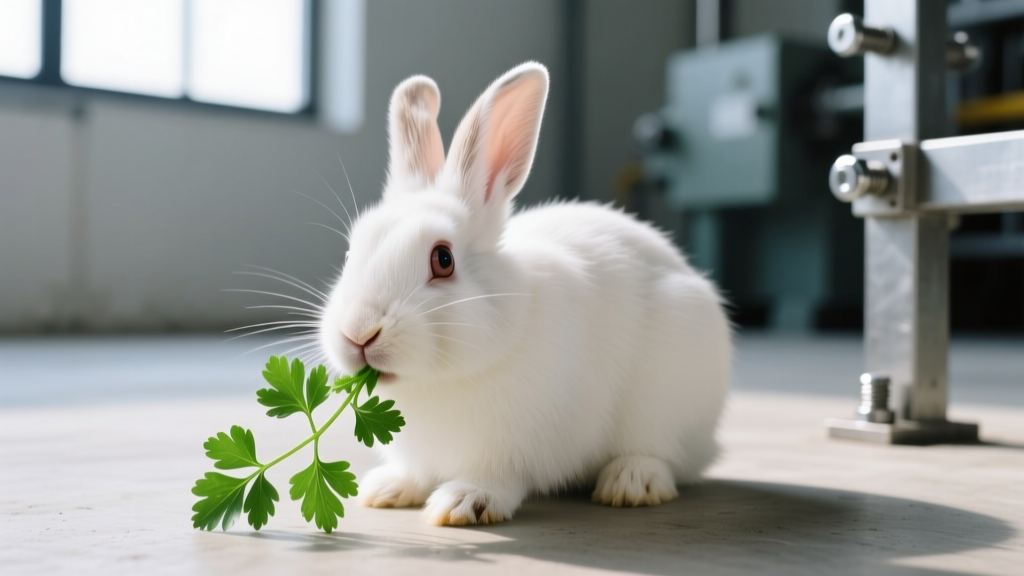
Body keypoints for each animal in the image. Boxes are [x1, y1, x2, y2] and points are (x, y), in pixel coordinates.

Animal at [318, 61, 731, 526]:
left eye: (443, 259)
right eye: (350, 253)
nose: (359, 332)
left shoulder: (511, 447)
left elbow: (495, 478)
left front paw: (464, 503)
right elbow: (415, 471)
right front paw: (386, 489)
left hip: (670, 393)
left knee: (665, 456)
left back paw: (630, 482)